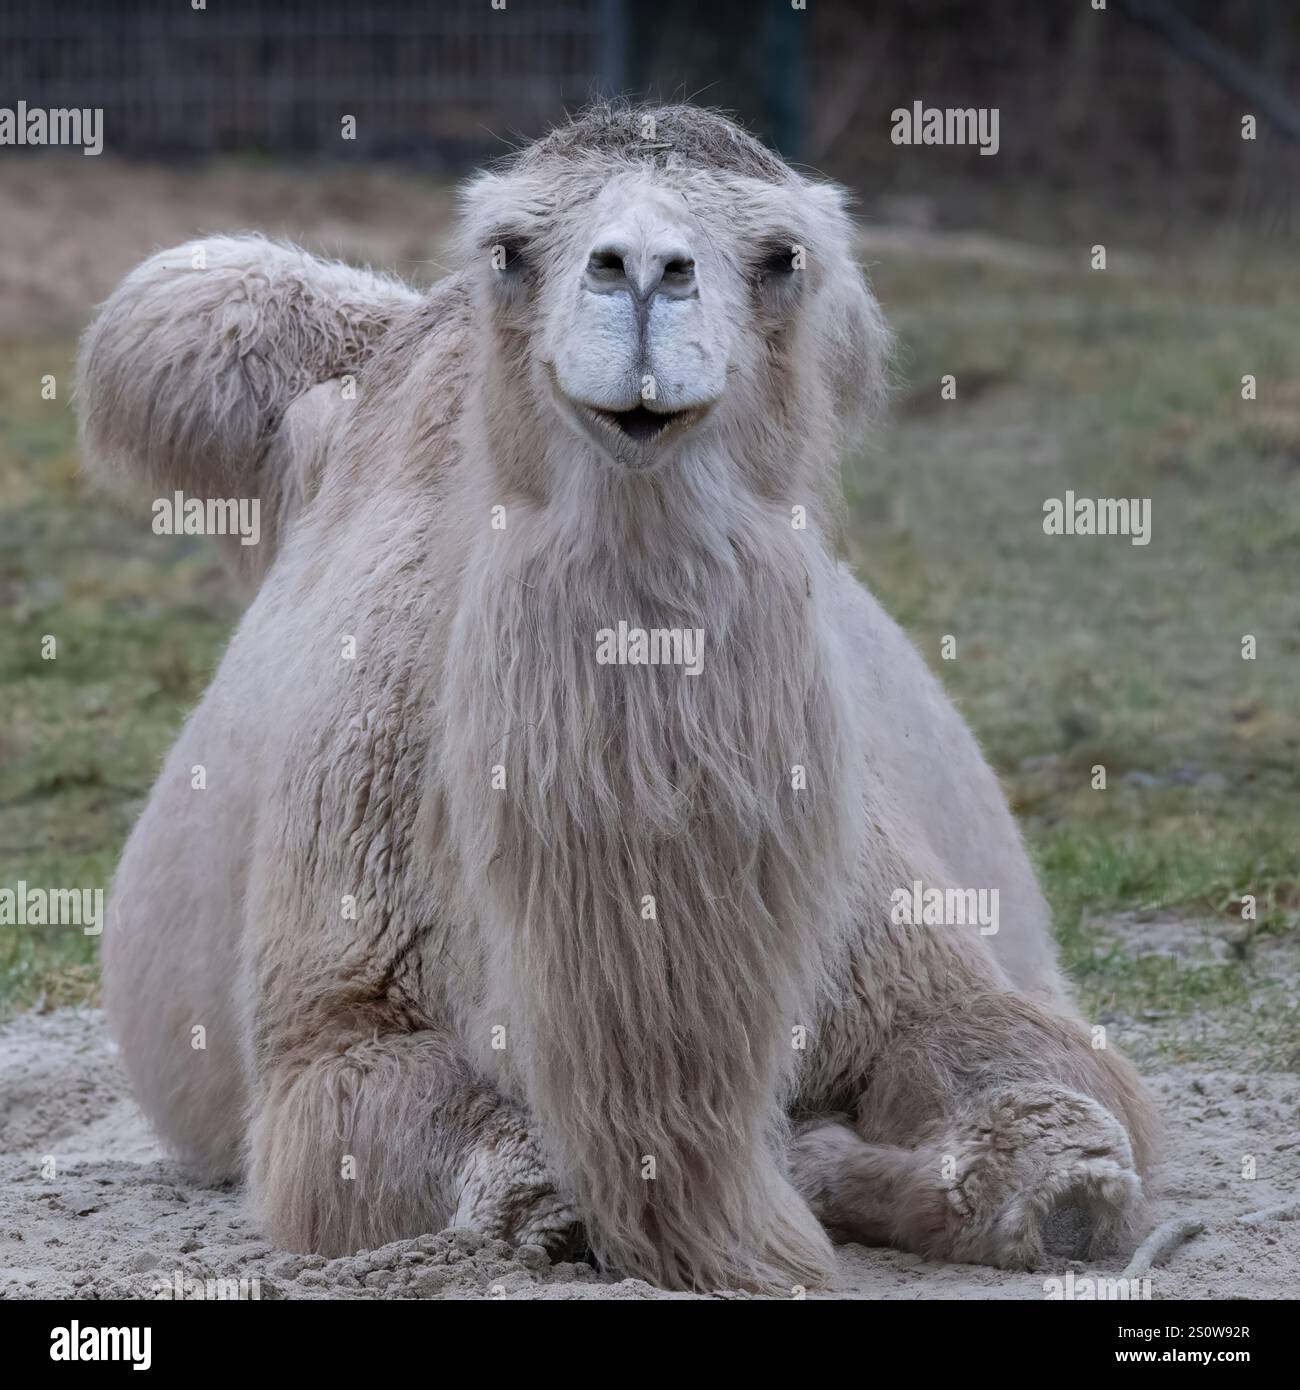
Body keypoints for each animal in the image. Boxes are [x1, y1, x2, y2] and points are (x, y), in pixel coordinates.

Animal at [77, 102, 1156, 1293]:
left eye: (783, 258)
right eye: (510, 249)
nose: (641, 272)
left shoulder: (915, 964)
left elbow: (1052, 1114)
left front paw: (890, 1175)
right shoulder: (338, 1019)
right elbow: (444, 1148)